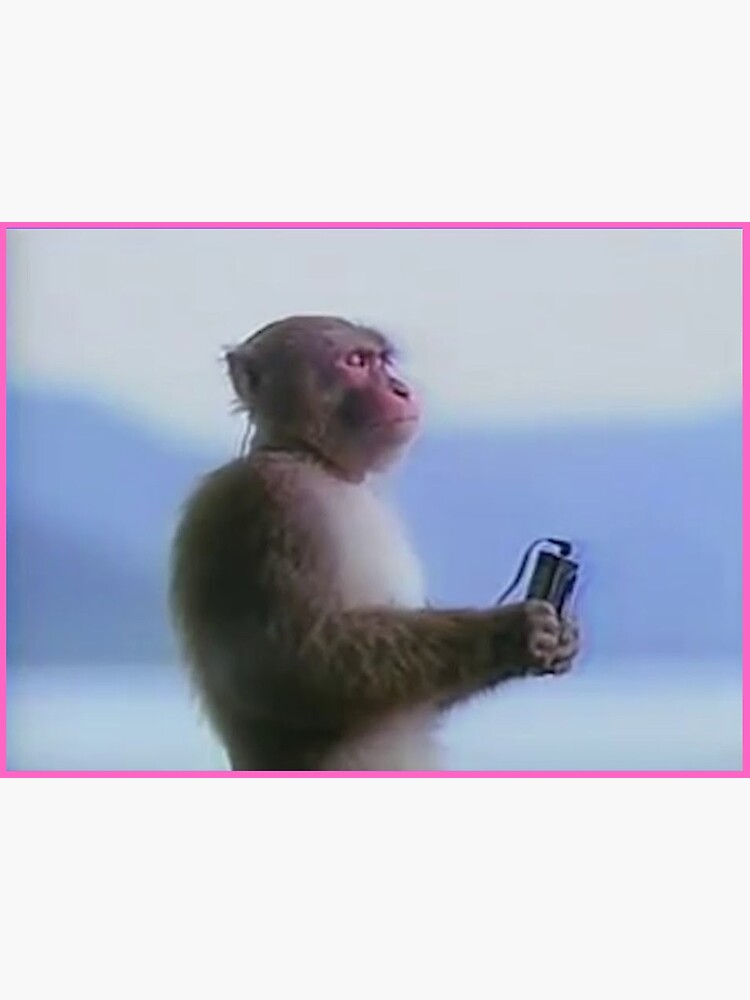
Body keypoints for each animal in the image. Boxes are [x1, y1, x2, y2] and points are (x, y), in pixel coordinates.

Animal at [169, 315, 581, 771]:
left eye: (383, 360)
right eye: (356, 362)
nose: (400, 388)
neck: (311, 459)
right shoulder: (267, 502)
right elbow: (284, 670)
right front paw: (514, 631)